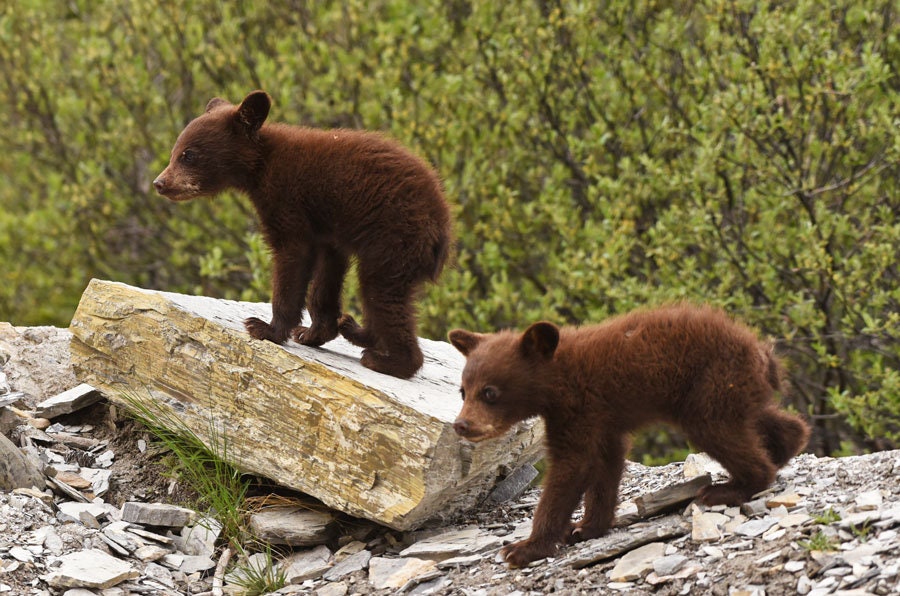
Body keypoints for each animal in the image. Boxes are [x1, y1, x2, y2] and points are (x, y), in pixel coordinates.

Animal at [154, 90, 453, 379]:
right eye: (174, 151)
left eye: (188, 154)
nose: (159, 182)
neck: (261, 166)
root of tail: (444, 228)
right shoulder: (327, 229)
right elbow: (326, 277)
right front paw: (313, 332)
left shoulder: (287, 199)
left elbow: (291, 257)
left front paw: (266, 328)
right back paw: (354, 329)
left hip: (395, 240)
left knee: (380, 292)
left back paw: (388, 361)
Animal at [448, 304, 810, 567]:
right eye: (463, 390)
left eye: (490, 392)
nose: (461, 424)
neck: (558, 379)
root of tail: (762, 352)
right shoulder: (604, 420)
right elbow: (605, 466)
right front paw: (587, 527)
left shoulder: (580, 407)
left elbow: (573, 466)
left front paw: (524, 547)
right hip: (730, 388)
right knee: (760, 417)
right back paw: (786, 445)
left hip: (710, 384)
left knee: (719, 431)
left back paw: (730, 488)